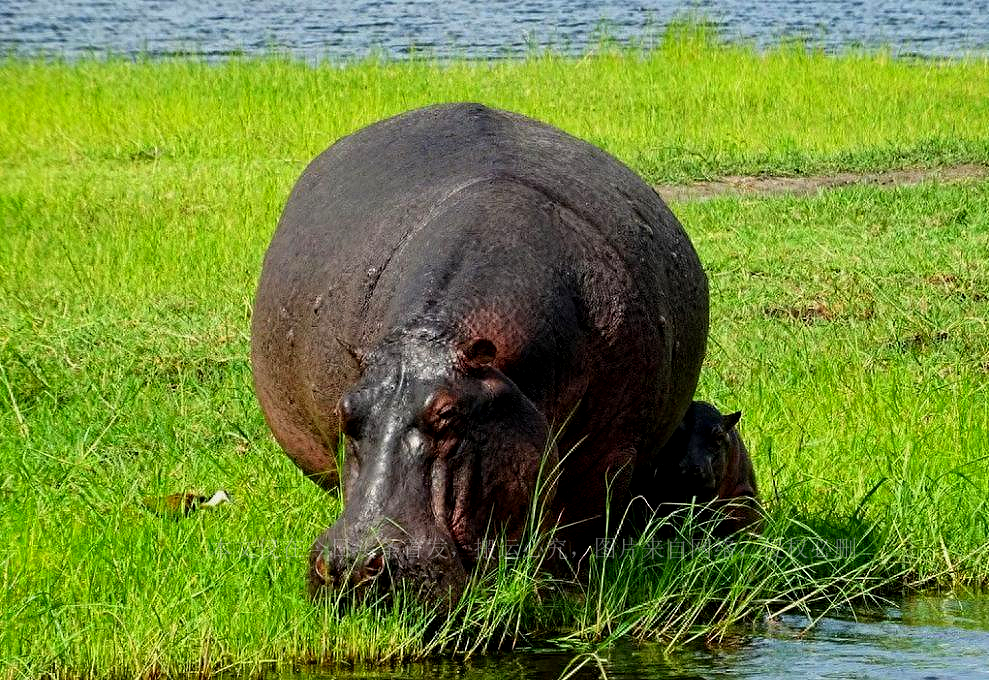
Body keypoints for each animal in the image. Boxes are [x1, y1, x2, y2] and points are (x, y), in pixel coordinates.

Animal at [250, 103, 709, 603]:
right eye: (346, 412)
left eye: (449, 415)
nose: (352, 564)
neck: (435, 334)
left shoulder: (607, 457)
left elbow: (573, 537)